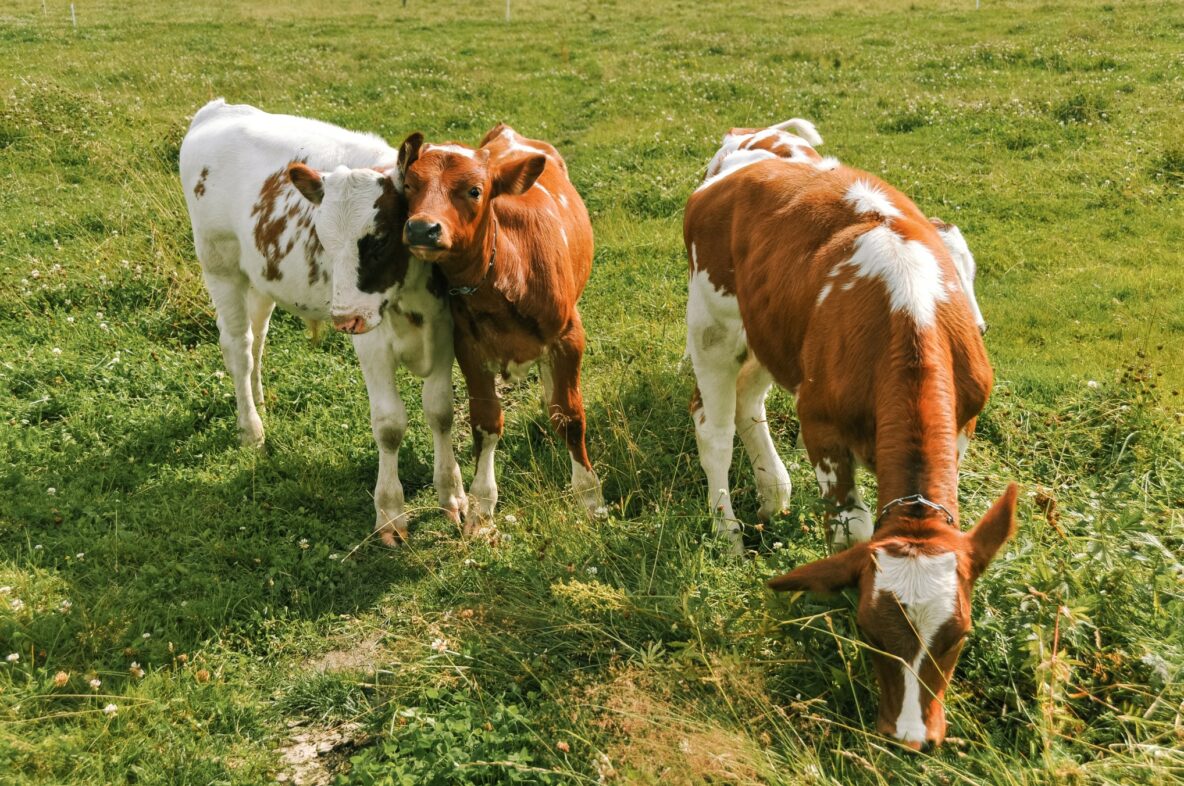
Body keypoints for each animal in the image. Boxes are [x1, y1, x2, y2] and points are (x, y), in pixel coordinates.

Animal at [179, 99, 465, 544]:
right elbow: (389, 425)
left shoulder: (445, 331)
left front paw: (451, 494)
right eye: (325, 242)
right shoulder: (372, 342)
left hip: (260, 277)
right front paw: (390, 513)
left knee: (258, 336)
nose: (344, 318)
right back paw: (251, 428)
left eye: (381, 237)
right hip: (219, 267)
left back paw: (260, 399)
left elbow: (441, 412)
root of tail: (218, 110)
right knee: (238, 348)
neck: (411, 294)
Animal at [395, 124, 605, 534]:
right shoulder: (470, 351)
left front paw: (590, 498)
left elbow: (570, 417)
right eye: (409, 185)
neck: (508, 269)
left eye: (475, 190)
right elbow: (486, 423)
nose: (422, 228)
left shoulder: (569, 336)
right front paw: (480, 508)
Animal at [683, 125, 1017, 749]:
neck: (908, 317)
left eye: (959, 634)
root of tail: (751, 138)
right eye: (870, 631)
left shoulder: (963, 424)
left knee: (748, 401)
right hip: (712, 325)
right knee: (713, 427)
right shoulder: (822, 428)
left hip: (770, 332)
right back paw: (729, 532)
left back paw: (775, 495)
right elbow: (851, 529)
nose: (911, 736)